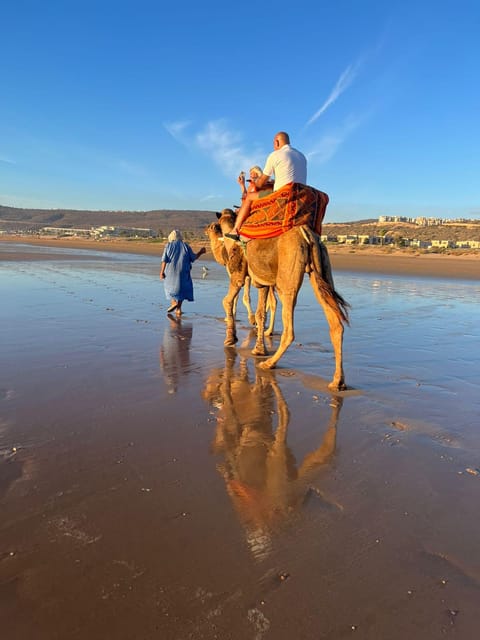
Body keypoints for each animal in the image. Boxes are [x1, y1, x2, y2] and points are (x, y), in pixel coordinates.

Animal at [214, 208, 349, 391]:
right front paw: (258, 350)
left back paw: (268, 364)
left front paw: (230, 339)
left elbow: (227, 301)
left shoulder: (238, 274)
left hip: (288, 277)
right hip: (322, 269)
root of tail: (307, 234)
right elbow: (260, 314)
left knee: (289, 328)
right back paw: (337, 382)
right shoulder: (262, 283)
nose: (214, 228)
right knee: (336, 324)